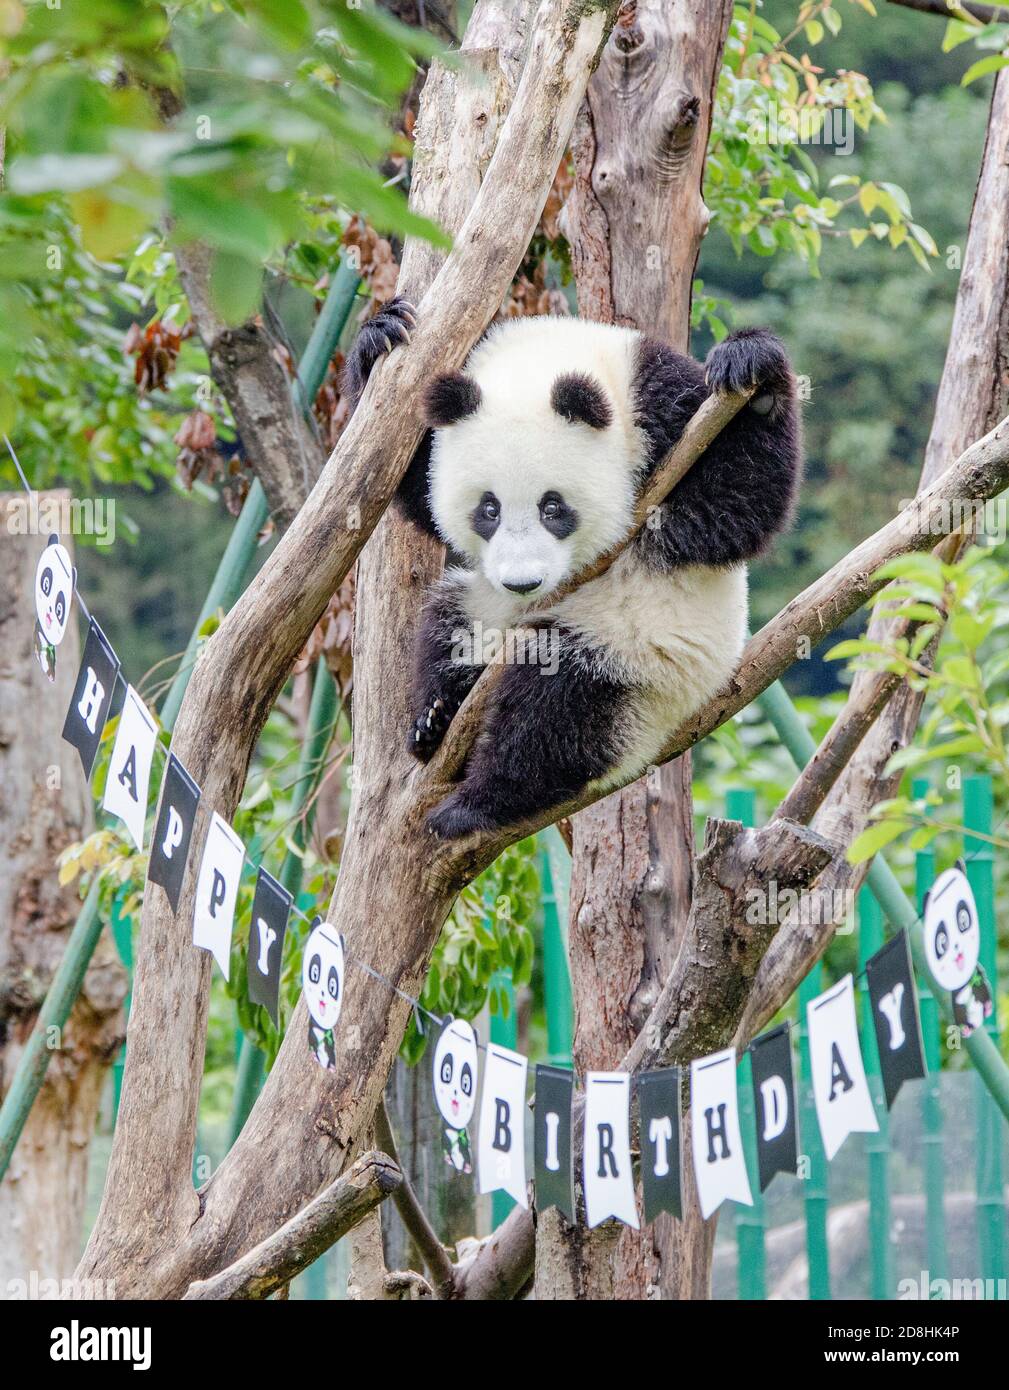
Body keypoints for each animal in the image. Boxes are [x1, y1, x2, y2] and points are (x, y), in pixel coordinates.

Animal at [345, 299, 801, 840]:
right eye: (488, 509)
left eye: (553, 507)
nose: (523, 583)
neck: (546, 360)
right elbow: (414, 485)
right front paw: (379, 337)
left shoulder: (659, 401)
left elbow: (739, 508)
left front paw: (752, 370)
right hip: (483, 608)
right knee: (446, 625)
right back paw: (437, 716)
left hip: (642, 665)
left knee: (555, 703)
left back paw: (479, 802)